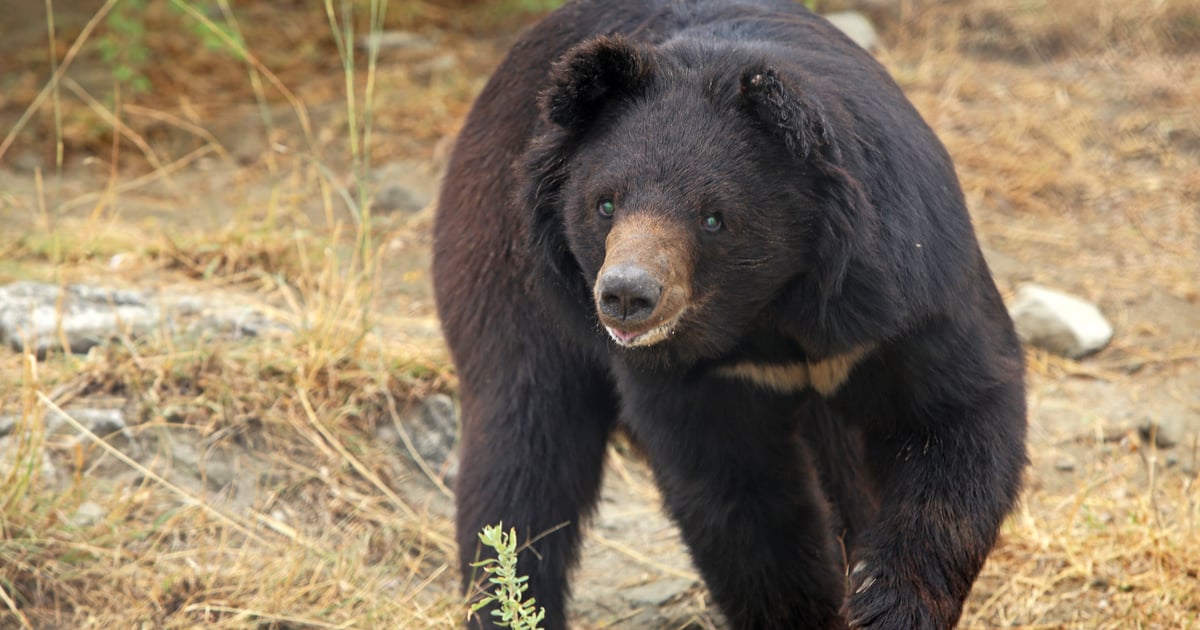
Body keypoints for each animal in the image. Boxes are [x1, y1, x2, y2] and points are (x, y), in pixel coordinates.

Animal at [432, 1, 1028, 628]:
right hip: (507, 267)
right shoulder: (699, 381)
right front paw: (808, 611)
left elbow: (955, 416)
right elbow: (737, 495)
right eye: (605, 204)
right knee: (524, 447)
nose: (626, 295)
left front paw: (884, 602)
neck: (766, 310)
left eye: (713, 218)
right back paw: (508, 602)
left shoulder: (903, 301)